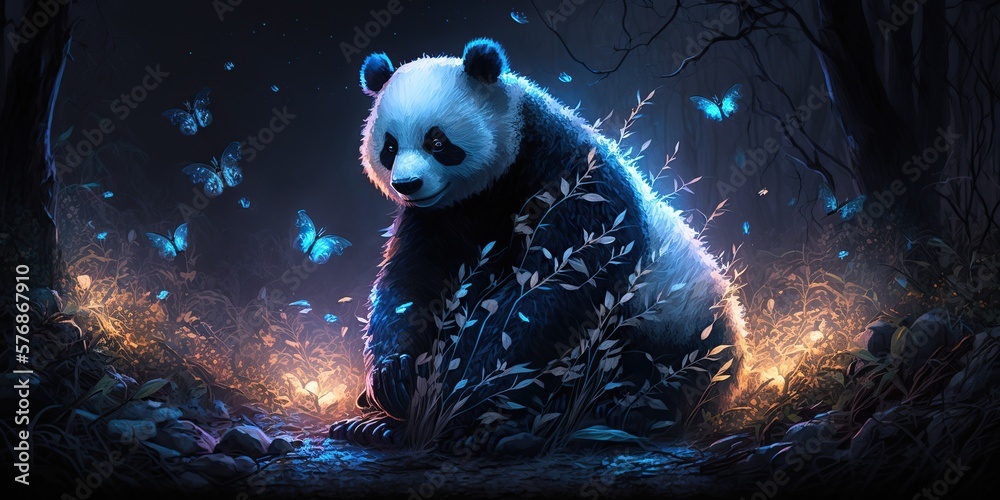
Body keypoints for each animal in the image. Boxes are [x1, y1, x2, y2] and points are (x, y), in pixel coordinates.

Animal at [331, 39, 747, 447]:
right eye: (389, 147)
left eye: (437, 141)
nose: (407, 184)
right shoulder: (440, 216)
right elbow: (415, 283)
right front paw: (394, 378)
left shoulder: (574, 183)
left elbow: (549, 294)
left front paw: (450, 386)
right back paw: (375, 426)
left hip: (679, 324)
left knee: (659, 374)